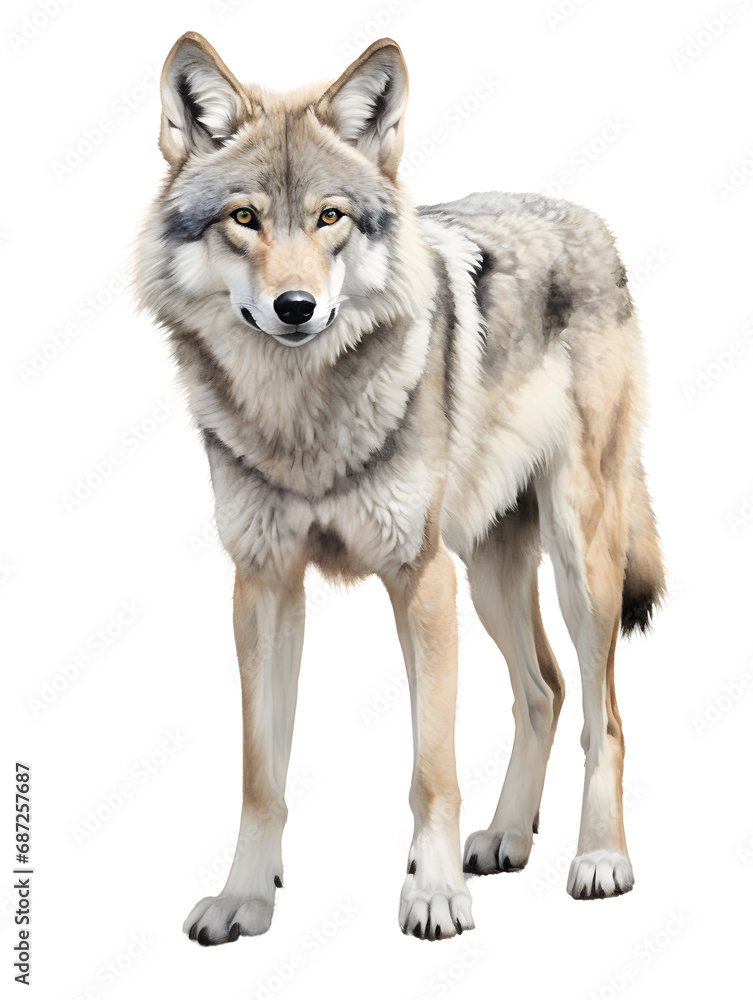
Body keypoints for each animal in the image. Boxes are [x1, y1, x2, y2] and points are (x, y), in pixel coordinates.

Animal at [134, 32, 665, 944]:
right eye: (244, 218)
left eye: (330, 217)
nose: (296, 306)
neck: (302, 420)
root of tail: (588, 222)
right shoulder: (263, 584)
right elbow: (259, 775)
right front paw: (244, 899)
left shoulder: (419, 579)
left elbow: (431, 766)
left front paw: (435, 895)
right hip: (486, 574)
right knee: (544, 690)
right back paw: (505, 838)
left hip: (573, 564)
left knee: (604, 715)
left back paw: (599, 858)